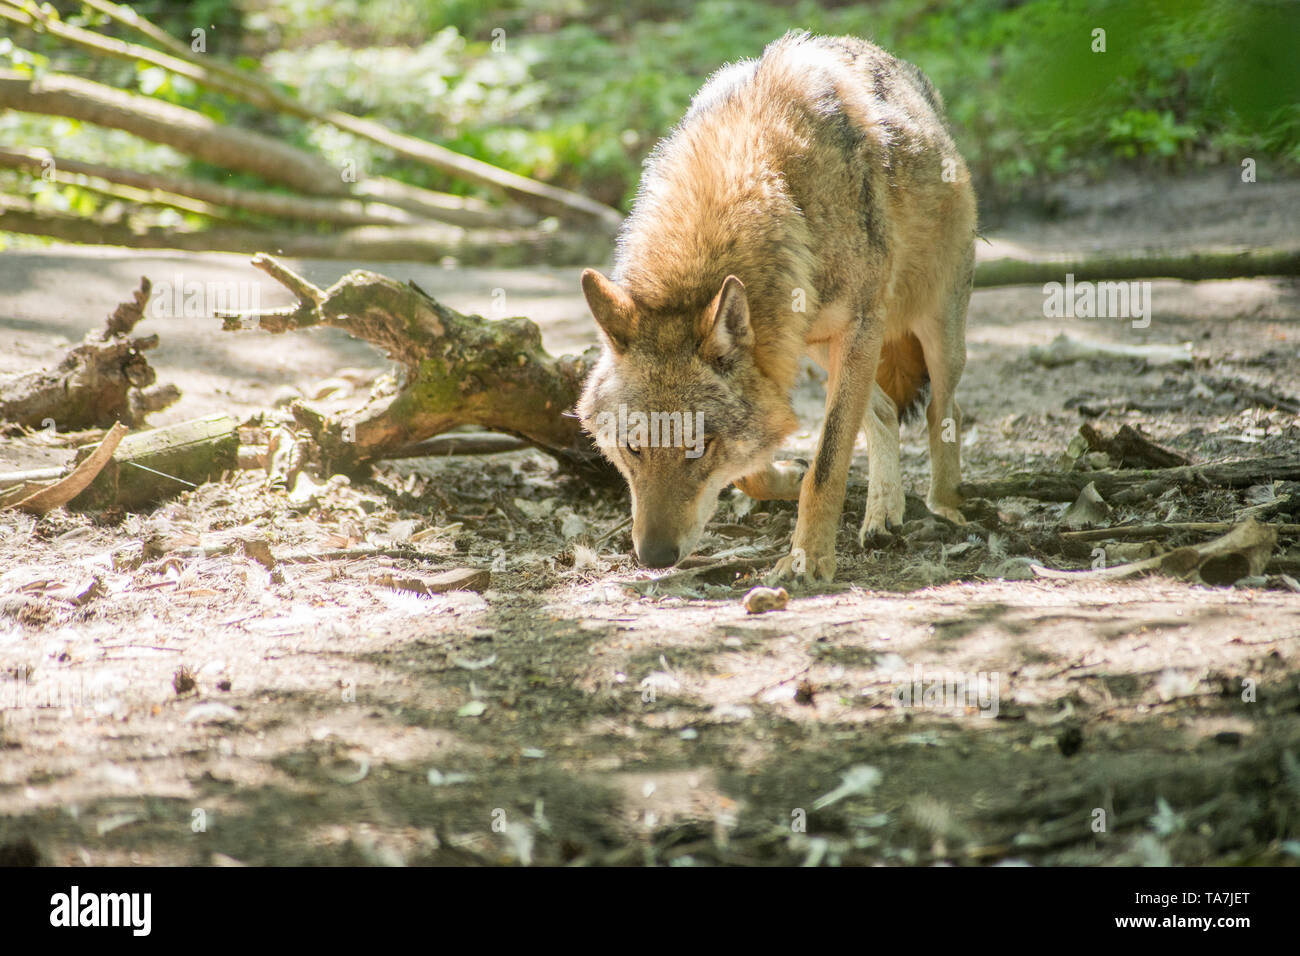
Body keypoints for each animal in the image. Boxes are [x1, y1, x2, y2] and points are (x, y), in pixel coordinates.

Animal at [577, 31, 976, 582]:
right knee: (883, 410)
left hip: (932, 334)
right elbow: (757, 466)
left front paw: (809, 559)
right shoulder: (787, 353)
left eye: (698, 447)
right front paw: (787, 477)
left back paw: (944, 507)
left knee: (944, 407)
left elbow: (828, 463)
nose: (655, 557)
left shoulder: (859, 327)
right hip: (818, 345)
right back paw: (882, 515)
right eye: (634, 447)